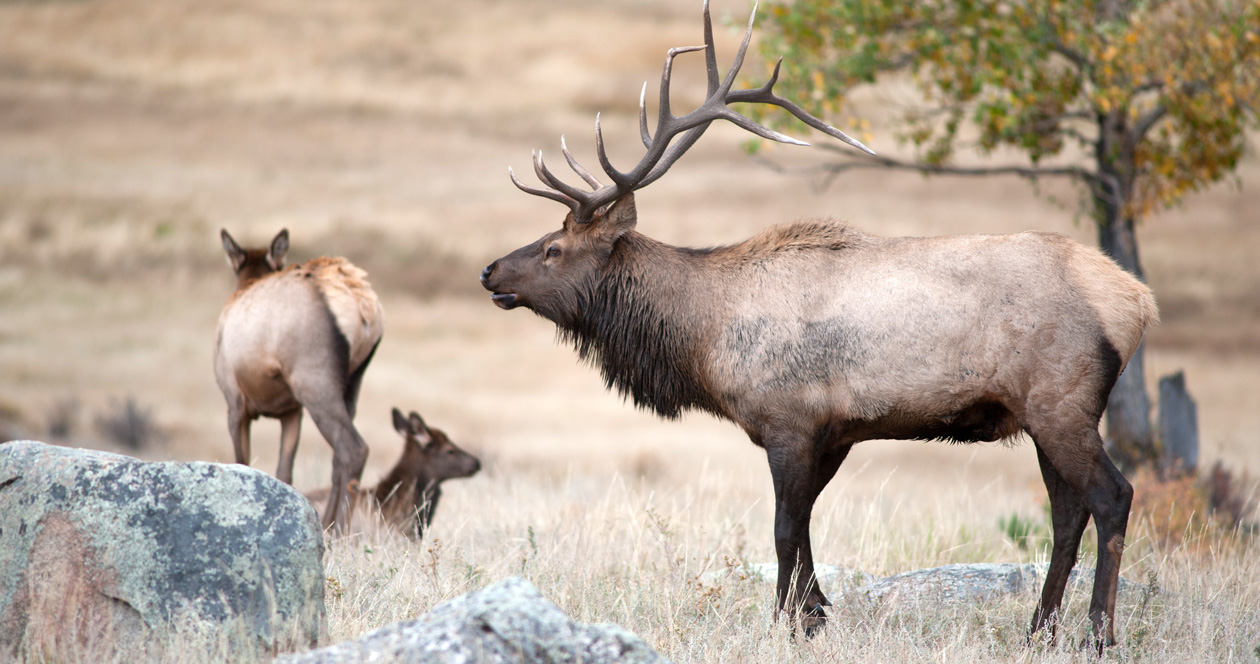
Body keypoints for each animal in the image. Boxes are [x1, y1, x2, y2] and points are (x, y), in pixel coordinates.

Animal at [214, 228, 385, 533]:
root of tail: (362, 304)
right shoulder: (292, 411)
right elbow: (285, 471)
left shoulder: (234, 401)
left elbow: (241, 460)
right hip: (352, 382)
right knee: (338, 456)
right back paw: (327, 524)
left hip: (314, 381)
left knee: (354, 448)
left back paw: (339, 529)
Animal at [479, 1, 1158, 649]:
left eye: (553, 250)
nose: (489, 271)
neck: (705, 339)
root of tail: (1137, 301)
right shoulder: (833, 433)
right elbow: (805, 527)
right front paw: (814, 616)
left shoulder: (789, 421)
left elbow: (784, 529)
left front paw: (783, 623)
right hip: (1045, 416)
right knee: (1067, 514)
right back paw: (1038, 630)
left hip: (1062, 402)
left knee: (1113, 497)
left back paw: (1099, 634)